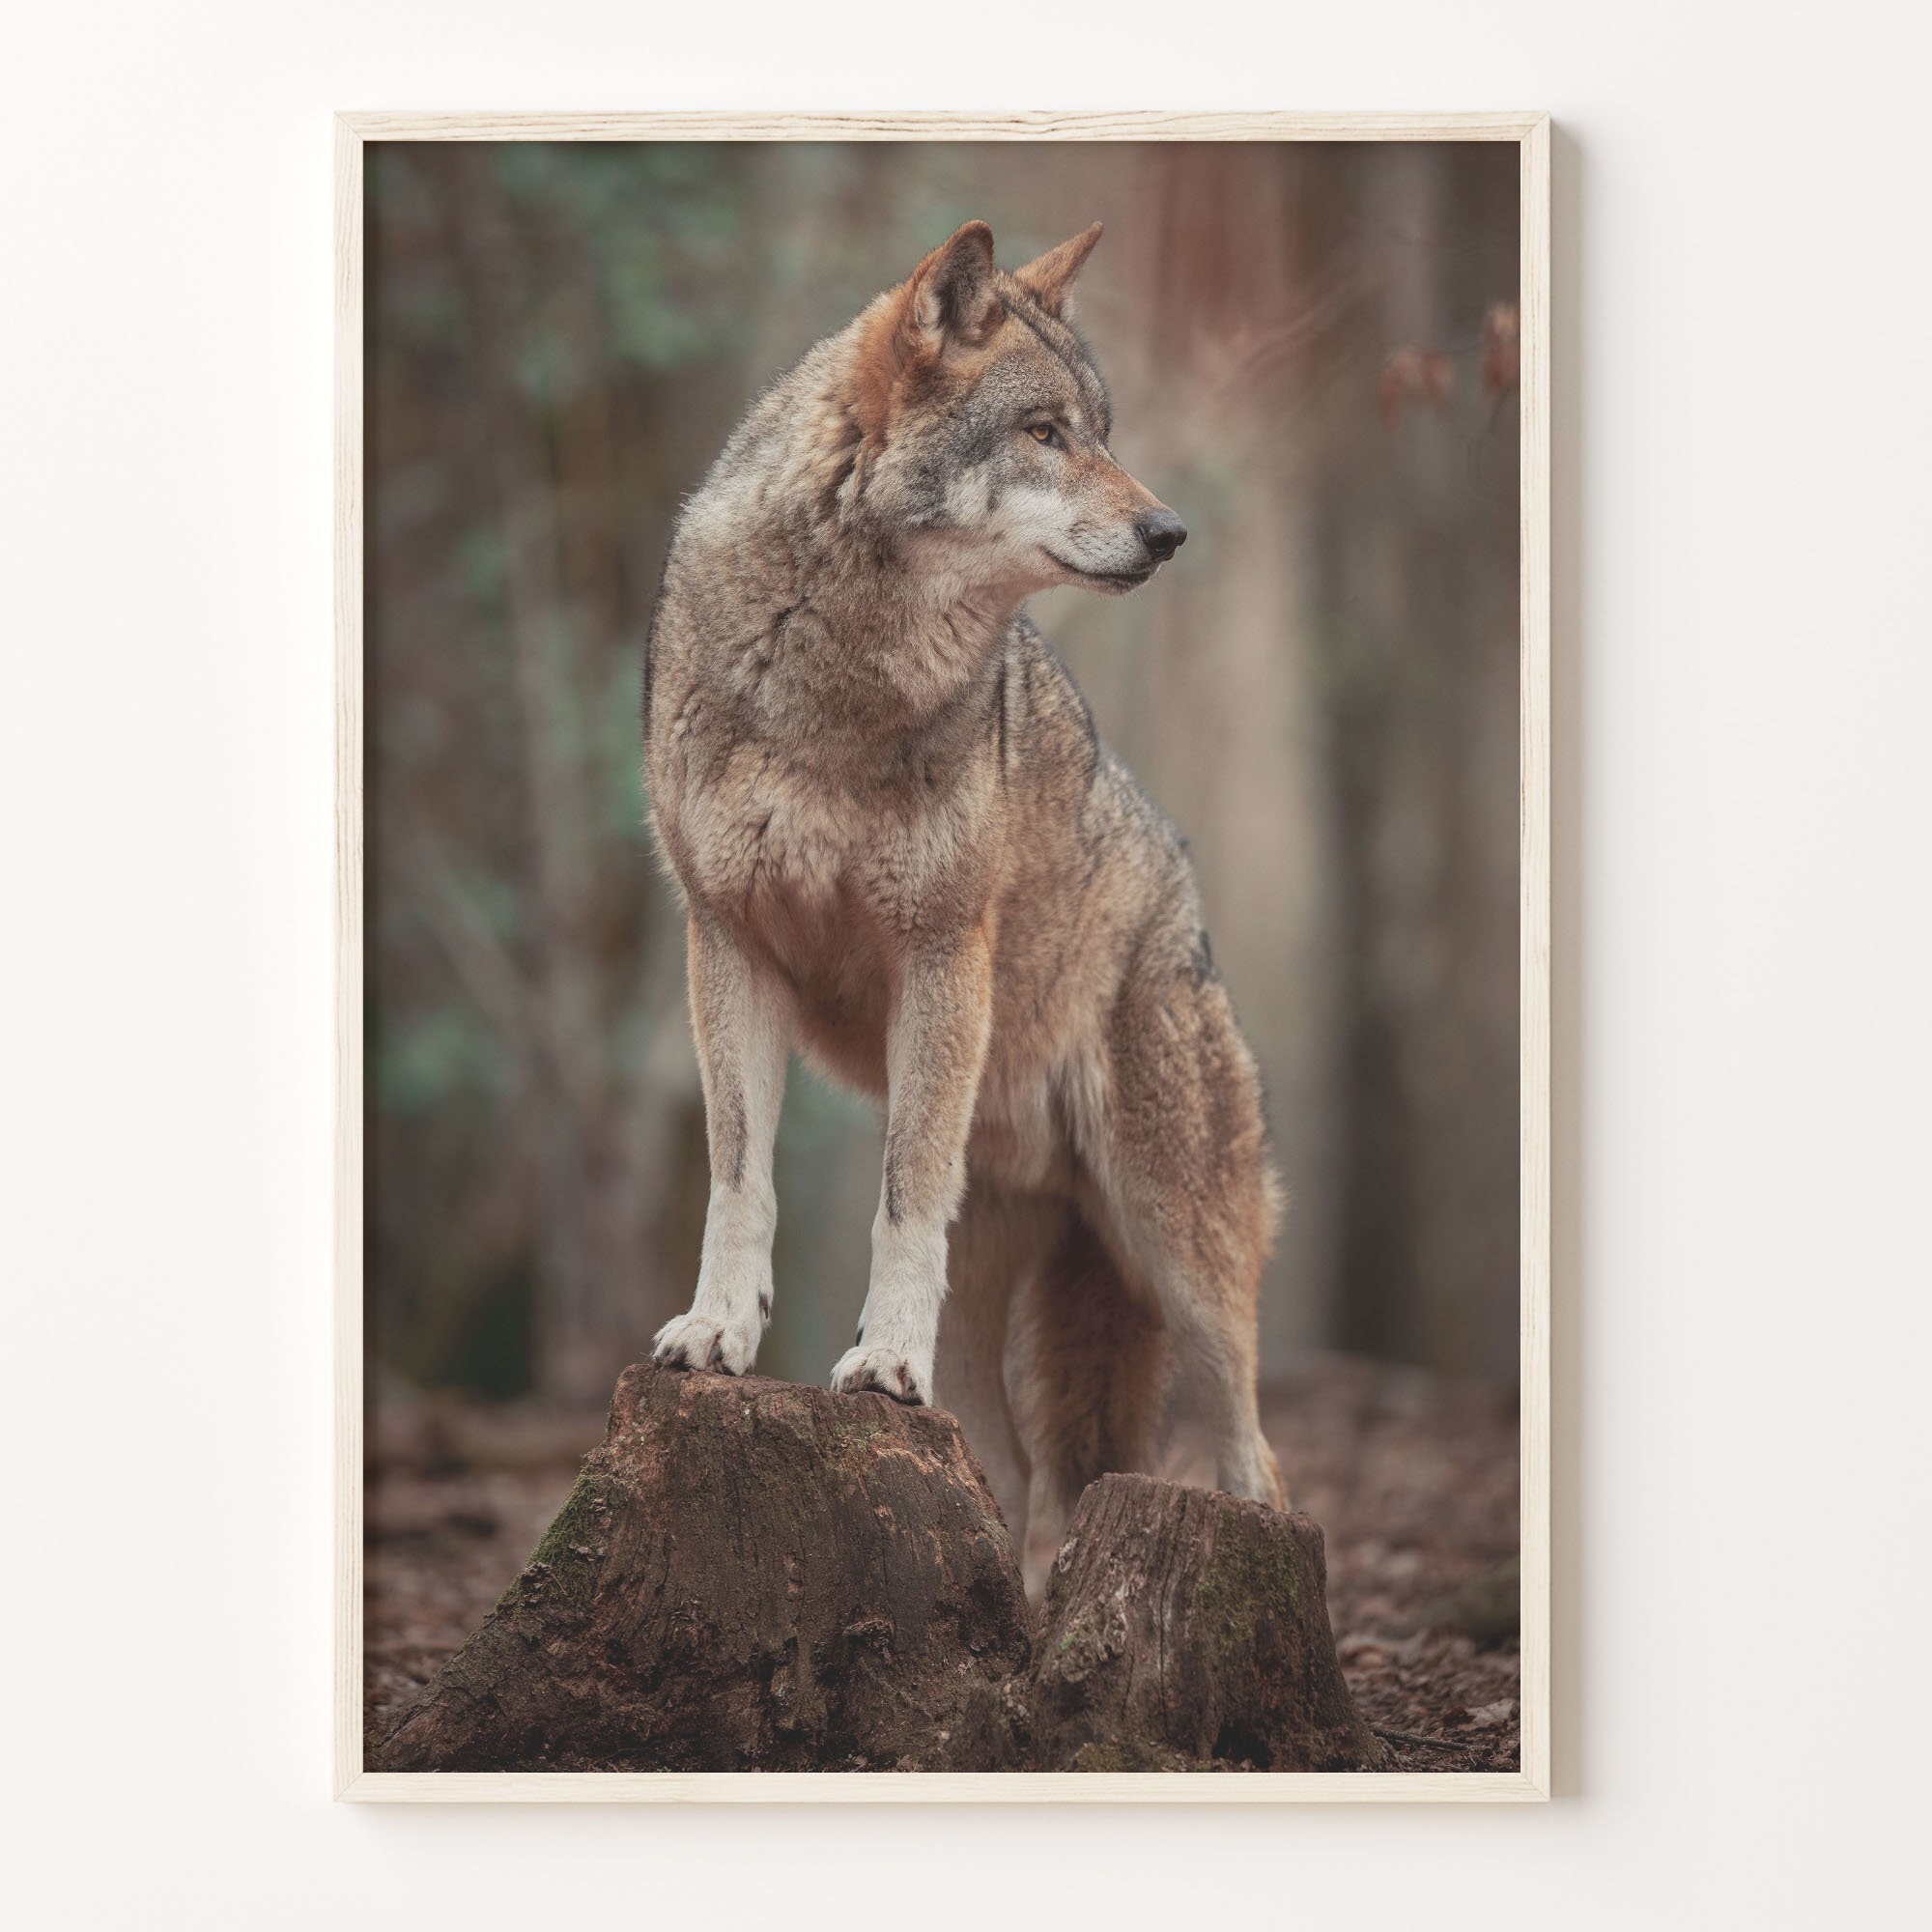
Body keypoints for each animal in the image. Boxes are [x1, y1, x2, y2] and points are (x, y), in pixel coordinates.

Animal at [644, 219, 1285, 1580]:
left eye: (1099, 427)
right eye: (1044, 431)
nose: (1170, 531)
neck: (837, 670)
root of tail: (1186, 903)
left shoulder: (939, 950)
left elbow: (897, 1198)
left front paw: (881, 1361)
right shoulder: (725, 942)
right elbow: (739, 1177)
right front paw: (717, 1334)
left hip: (1176, 1251)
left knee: (1254, 1455)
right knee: (1024, 1484)